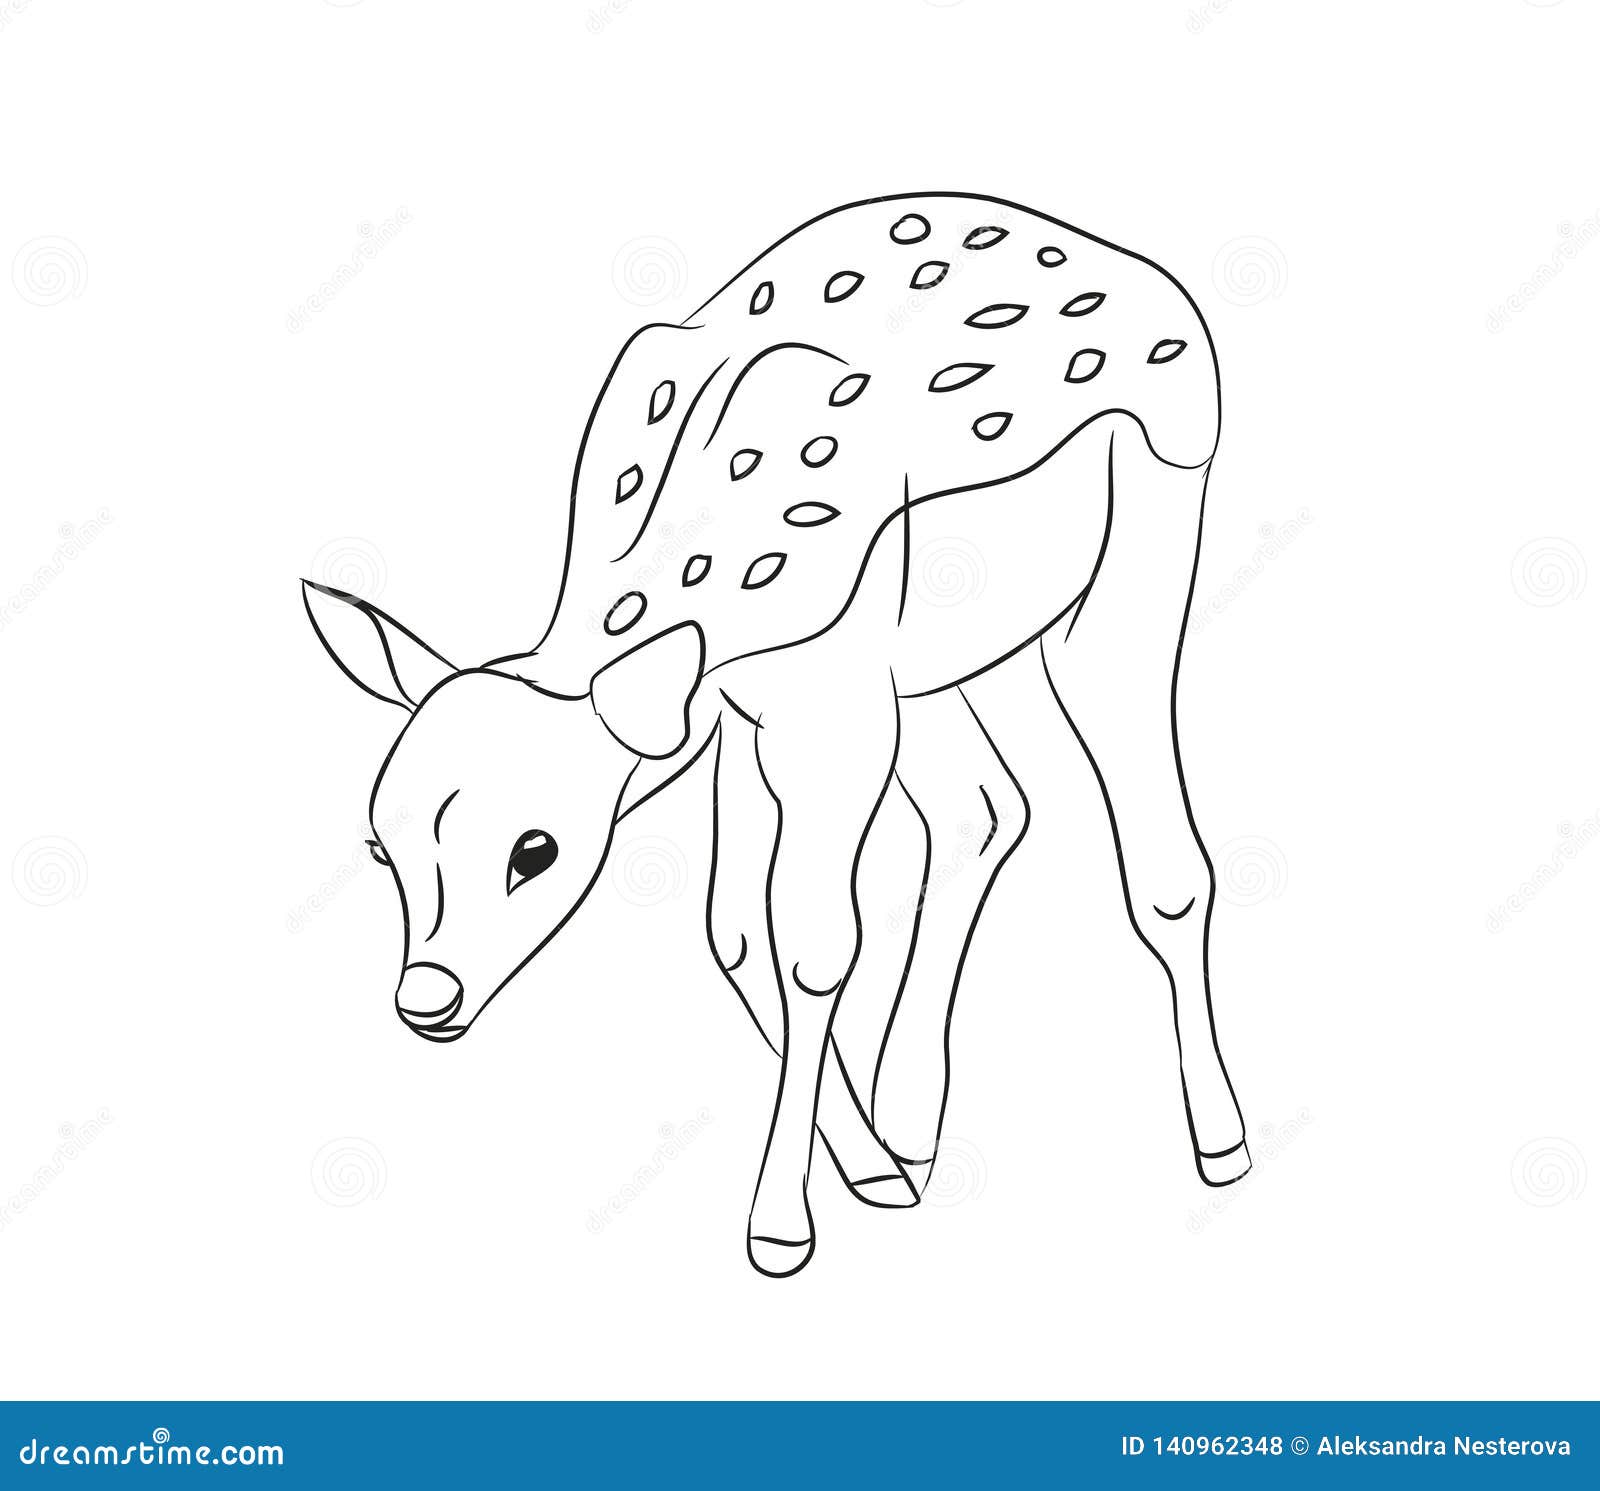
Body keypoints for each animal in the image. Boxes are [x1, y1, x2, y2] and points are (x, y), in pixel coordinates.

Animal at [301, 192, 1252, 1278]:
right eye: (380, 846)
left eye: (535, 850)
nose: (427, 996)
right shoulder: (740, 716)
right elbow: (736, 931)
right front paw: (873, 1169)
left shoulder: (830, 712)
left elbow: (816, 948)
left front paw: (780, 1225)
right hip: (957, 649)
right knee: (985, 808)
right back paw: (914, 1126)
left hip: (1144, 541)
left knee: (1162, 859)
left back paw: (1220, 1141)